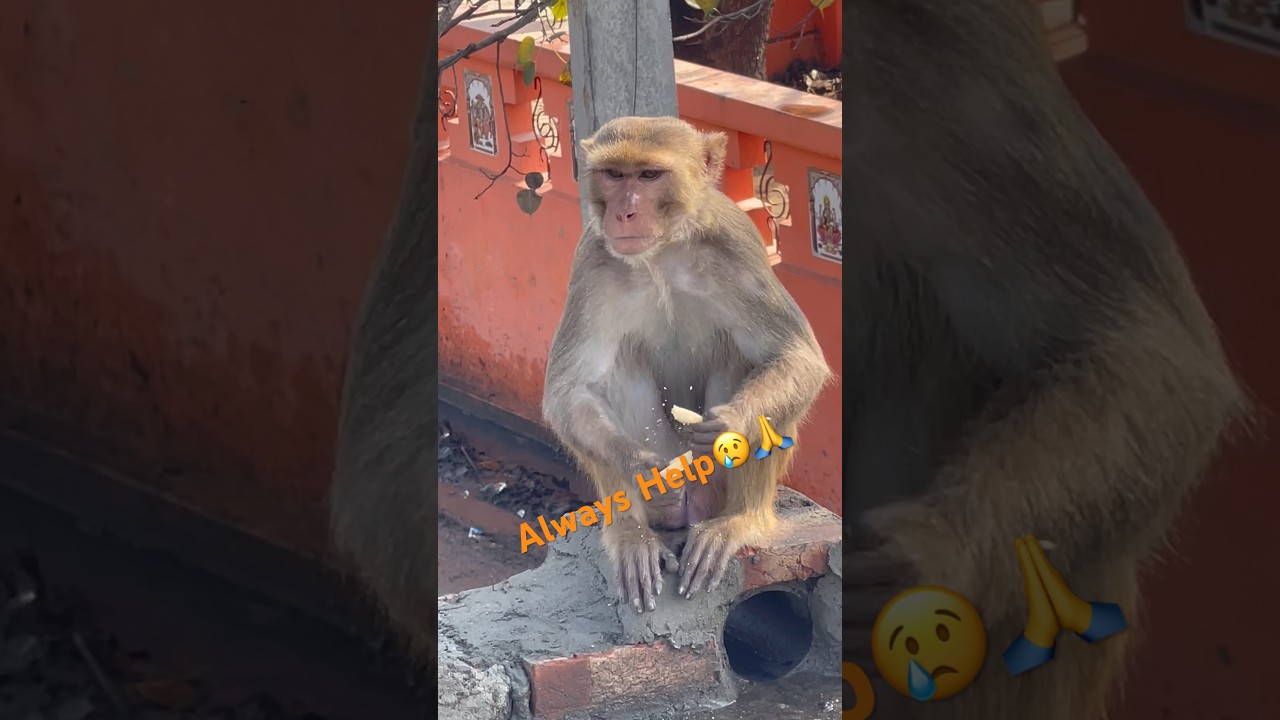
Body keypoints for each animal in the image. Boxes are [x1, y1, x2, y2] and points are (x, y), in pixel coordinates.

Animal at [541, 116, 832, 615]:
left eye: (649, 176)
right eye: (614, 175)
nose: (624, 213)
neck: (662, 251)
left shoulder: (735, 246)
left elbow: (797, 357)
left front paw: (730, 426)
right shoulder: (592, 259)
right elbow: (569, 392)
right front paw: (637, 466)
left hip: (713, 490)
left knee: (747, 361)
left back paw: (738, 522)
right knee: (614, 371)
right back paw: (632, 535)